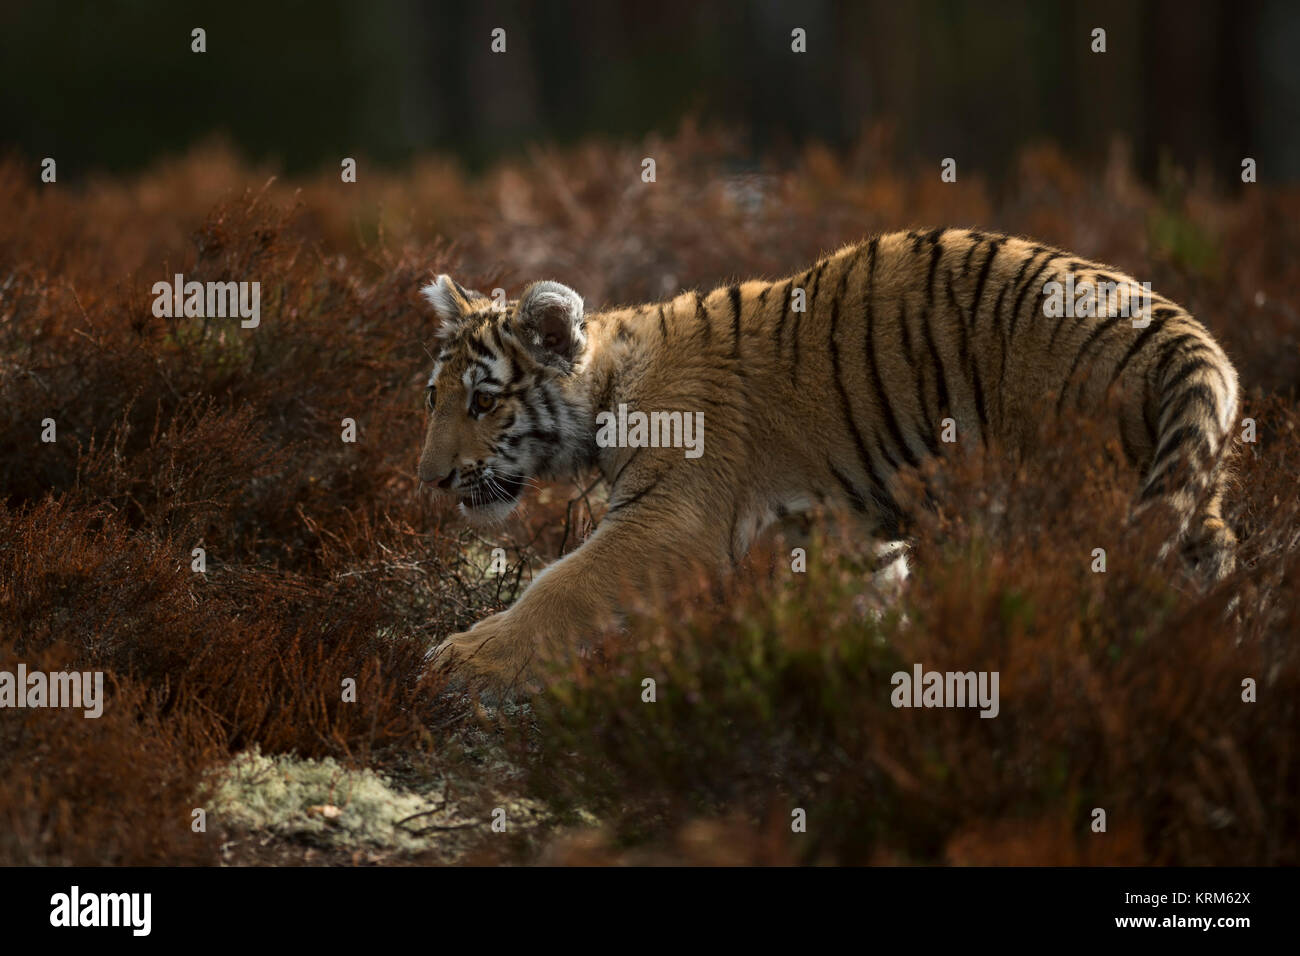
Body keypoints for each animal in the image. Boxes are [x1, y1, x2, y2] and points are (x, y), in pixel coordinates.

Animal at [417, 228, 1239, 688]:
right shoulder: (850, 535)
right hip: (1182, 487)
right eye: (434, 397)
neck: (611, 385)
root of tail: (1183, 332)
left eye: (482, 403)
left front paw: (463, 660)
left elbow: (564, 585)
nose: (430, 480)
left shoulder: (668, 520)